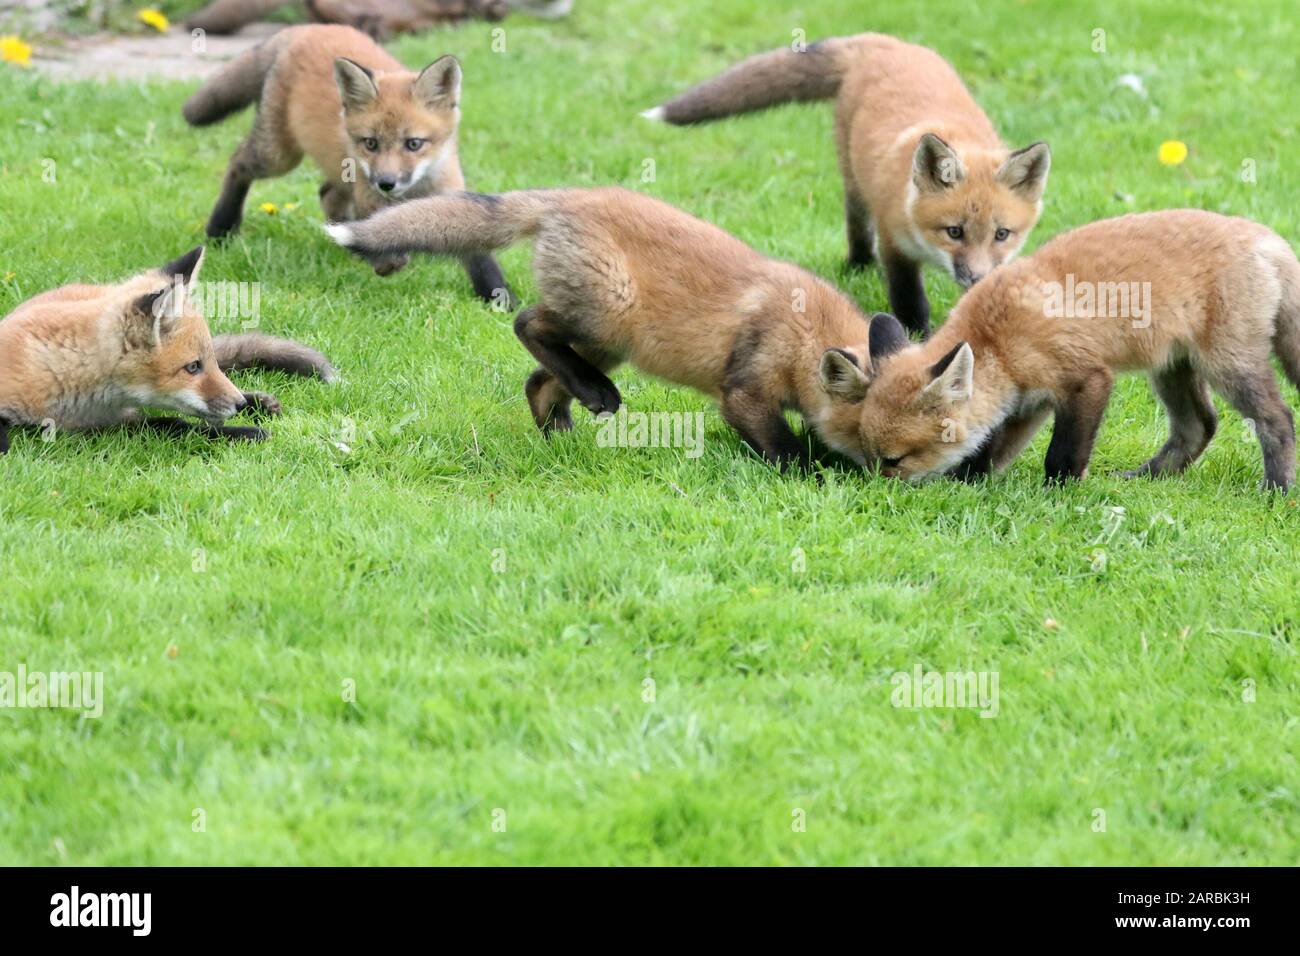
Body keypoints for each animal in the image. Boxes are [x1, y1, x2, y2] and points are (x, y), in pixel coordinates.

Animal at [0, 247, 336, 454]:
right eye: (193, 367)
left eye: (208, 363)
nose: (239, 404)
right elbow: (174, 425)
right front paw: (246, 431)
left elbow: (175, 423)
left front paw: (249, 416)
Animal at [182, 23, 510, 303]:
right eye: (371, 143)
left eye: (413, 144)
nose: (386, 183)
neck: (415, 189)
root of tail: (307, 28)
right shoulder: (368, 195)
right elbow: (389, 246)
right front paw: (384, 261)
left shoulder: (452, 196)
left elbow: (479, 254)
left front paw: (497, 297)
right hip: (278, 155)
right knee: (238, 162)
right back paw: (221, 227)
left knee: (326, 193)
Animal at [325, 186, 901, 468]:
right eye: (871, 443)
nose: (902, 483)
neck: (803, 333)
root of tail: (568, 197)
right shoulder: (744, 392)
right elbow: (786, 451)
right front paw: (817, 475)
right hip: (608, 314)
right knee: (526, 322)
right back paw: (593, 396)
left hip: (608, 343)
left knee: (538, 380)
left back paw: (561, 430)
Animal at [644, 33, 1052, 338]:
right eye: (954, 232)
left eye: (1002, 234)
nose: (978, 277)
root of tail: (885, 42)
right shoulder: (893, 242)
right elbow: (909, 300)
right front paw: (918, 337)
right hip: (854, 185)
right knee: (855, 224)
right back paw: (858, 264)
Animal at [841, 210, 1300, 491]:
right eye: (868, 456)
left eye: (894, 460)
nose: (876, 495)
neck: (998, 338)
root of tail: (1268, 238)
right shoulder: (1025, 403)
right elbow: (989, 451)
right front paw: (966, 484)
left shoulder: (1086, 379)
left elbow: (1061, 455)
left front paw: (1059, 494)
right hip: (1173, 368)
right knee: (1199, 426)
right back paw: (1148, 477)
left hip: (1228, 365)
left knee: (1278, 418)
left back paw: (1276, 489)